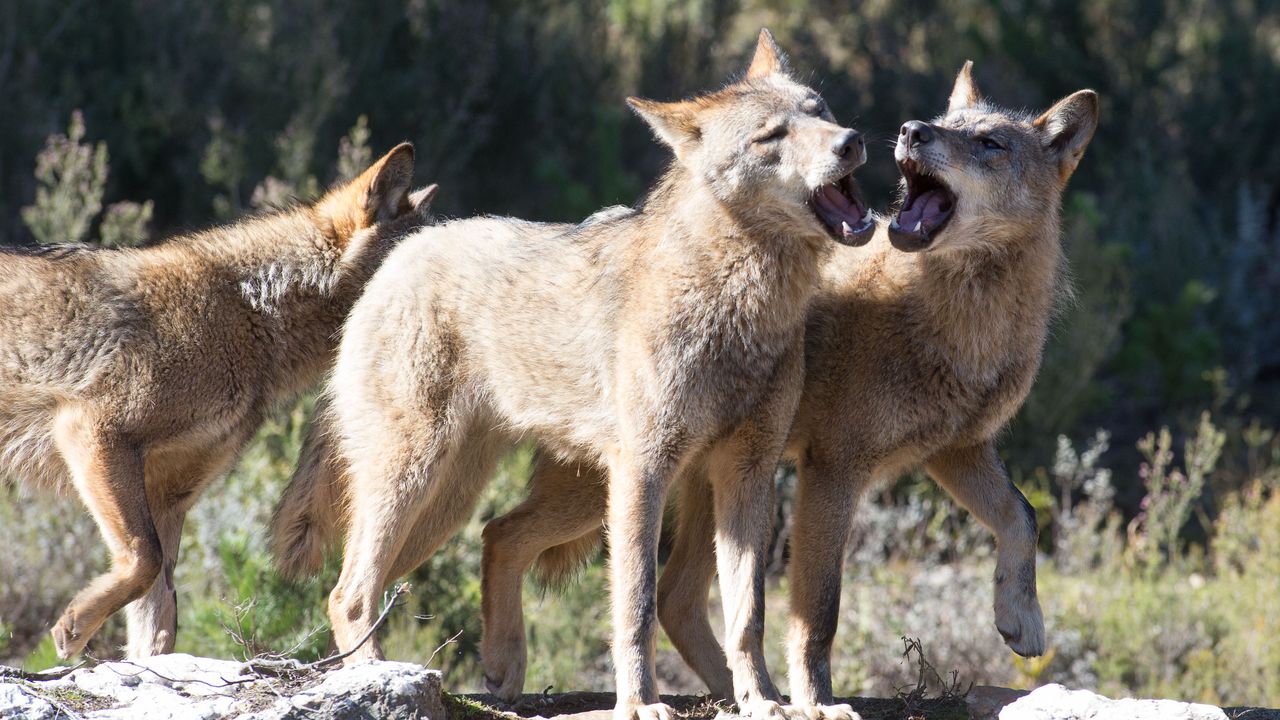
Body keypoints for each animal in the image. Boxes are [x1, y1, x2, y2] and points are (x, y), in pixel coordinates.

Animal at [0, 143, 435, 660]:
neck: (249, 312)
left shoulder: (167, 497)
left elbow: (158, 622)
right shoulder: (92, 431)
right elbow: (142, 560)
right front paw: (75, 625)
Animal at [271, 29, 873, 720]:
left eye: (819, 109)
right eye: (772, 135)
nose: (852, 140)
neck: (738, 308)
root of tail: (399, 256)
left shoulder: (747, 474)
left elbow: (748, 615)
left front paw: (767, 701)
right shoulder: (645, 471)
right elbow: (635, 606)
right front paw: (641, 704)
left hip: (486, 501)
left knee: (494, 536)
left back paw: (501, 664)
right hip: (425, 482)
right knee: (349, 592)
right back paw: (377, 676)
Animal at [473, 63, 1099, 712]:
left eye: (990, 143)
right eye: (944, 124)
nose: (912, 130)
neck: (960, 325)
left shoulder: (956, 451)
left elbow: (1021, 515)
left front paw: (1022, 618)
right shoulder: (834, 468)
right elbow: (819, 614)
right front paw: (817, 700)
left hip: (710, 480)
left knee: (663, 593)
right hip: (620, 486)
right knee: (508, 536)